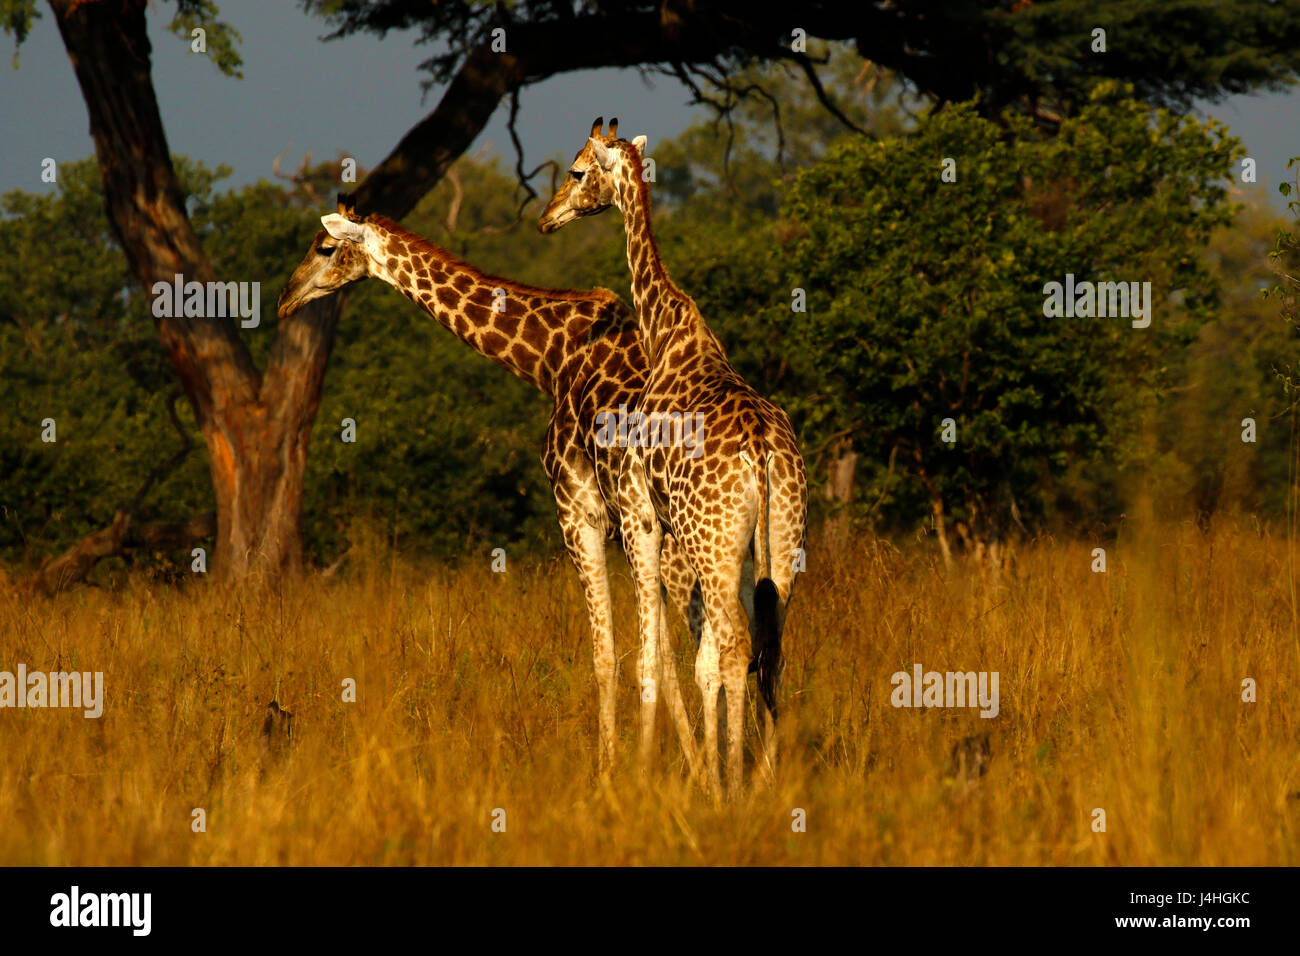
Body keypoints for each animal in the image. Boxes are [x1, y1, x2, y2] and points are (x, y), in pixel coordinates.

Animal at [276, 195, 703, 774]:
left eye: (324, 246)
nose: (285, 299)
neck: (549, 359)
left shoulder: (582, 512)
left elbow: (611, 655)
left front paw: (613, 772)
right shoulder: (625, 528)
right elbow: (660, 654)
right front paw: (692, 772)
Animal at [538, 119, 809, 794]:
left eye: (577, 171)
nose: (548, 218)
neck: (665, 330)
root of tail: (763, 453)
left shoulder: (648, 517)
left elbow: (679, 656)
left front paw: (701, 773)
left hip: (716, 544)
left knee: (735, 647)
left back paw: (735, 780)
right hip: (783, 540)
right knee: (771, 648)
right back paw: (766, 778)